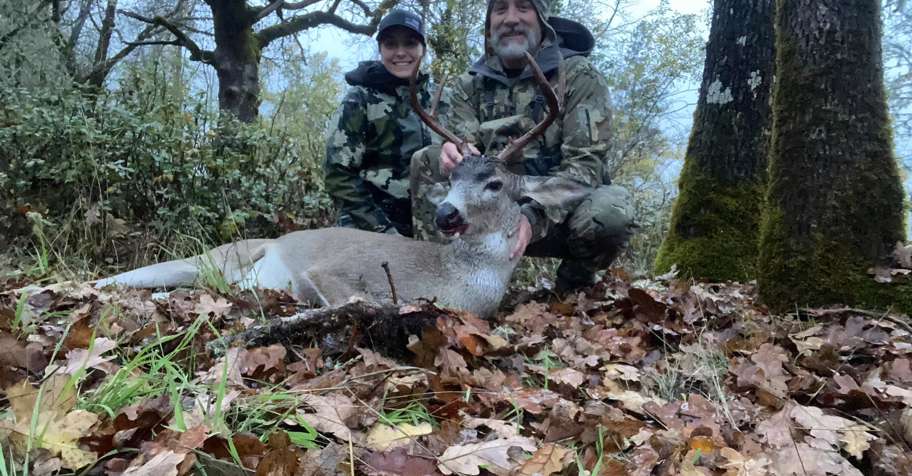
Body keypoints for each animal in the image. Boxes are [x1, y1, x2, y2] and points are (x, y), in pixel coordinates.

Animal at [94, 53, 588, 318]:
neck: (456, 282)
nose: (447, 213)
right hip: (213, 257)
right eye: (452, 177)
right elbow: (352, 297)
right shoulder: (333, 271)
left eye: (494, 183)